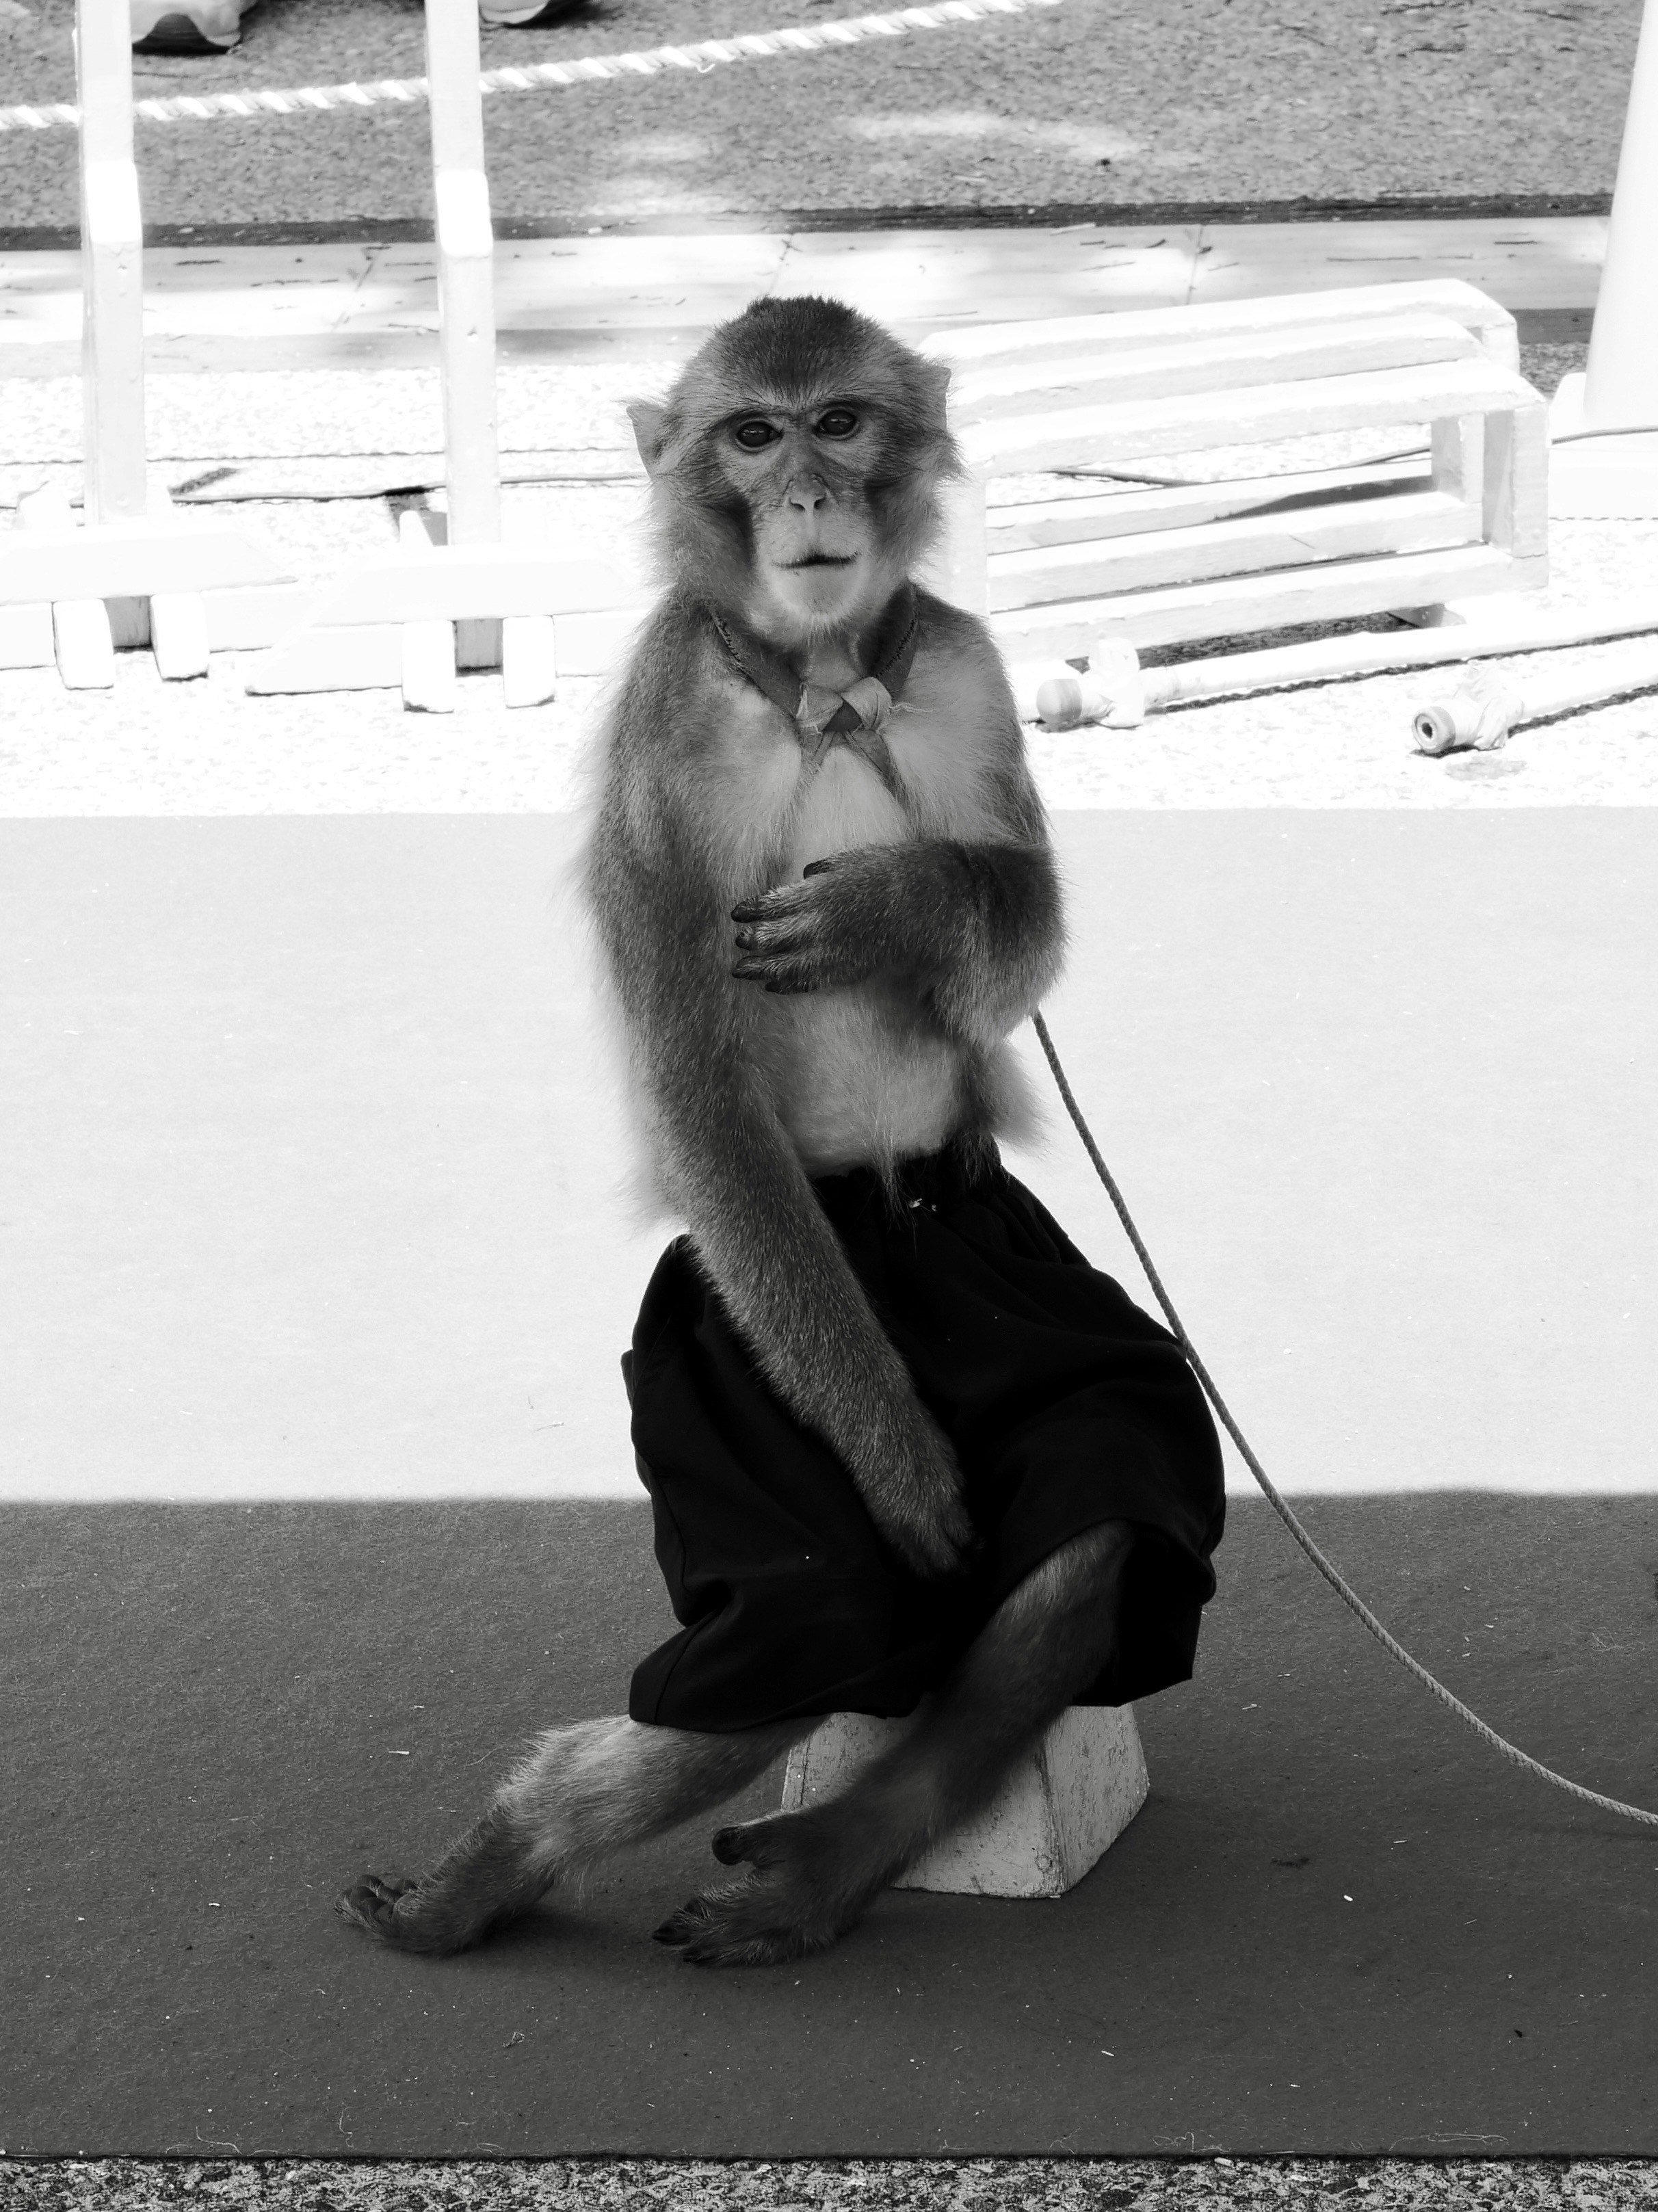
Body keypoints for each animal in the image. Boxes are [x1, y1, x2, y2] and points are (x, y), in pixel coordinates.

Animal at [335, 295, 1225, 1970]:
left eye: (839, 423)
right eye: (752, 435)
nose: (807, 494)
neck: (815, 677)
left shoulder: (962, 667)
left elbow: (1021, 924)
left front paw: (904, 903)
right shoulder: (662, 734)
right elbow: (700, 1091)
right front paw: (902, 1463)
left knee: (1104, 1486)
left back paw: (838, 1854)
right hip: (743, 1379)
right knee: (811, 1619)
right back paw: (501, 1857)